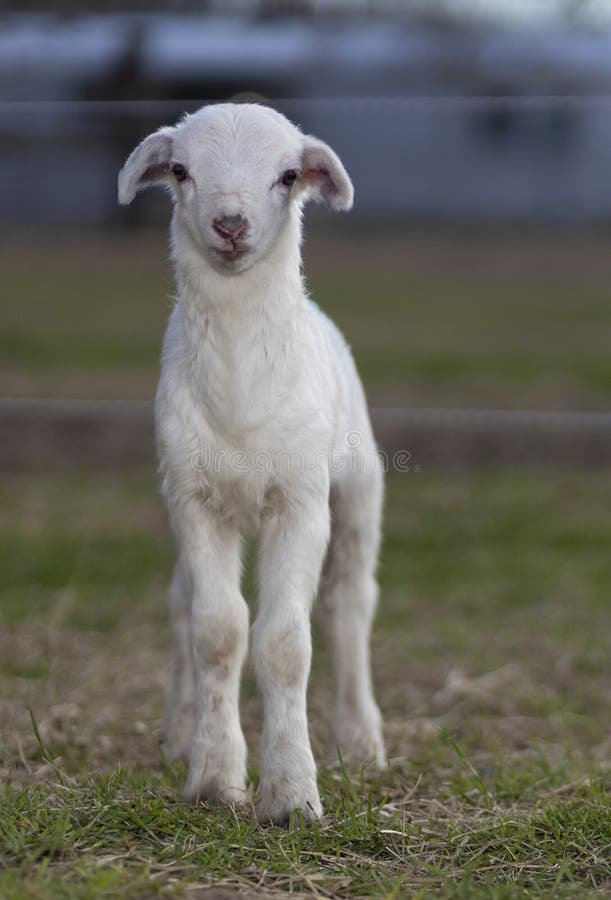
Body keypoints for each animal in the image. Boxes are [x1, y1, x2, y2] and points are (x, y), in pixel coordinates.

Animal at [118, 103, 385, 824]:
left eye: (289, 174)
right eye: (181, 170)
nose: (231, 224)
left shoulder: (300, 499)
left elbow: (286, 643)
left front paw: (292, 794)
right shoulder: (193, 498)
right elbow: (217, 630)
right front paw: (215, 777)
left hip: (358, 490)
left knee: (350, 602)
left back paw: (361, 740)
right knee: (181, 601)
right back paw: (179, 730)